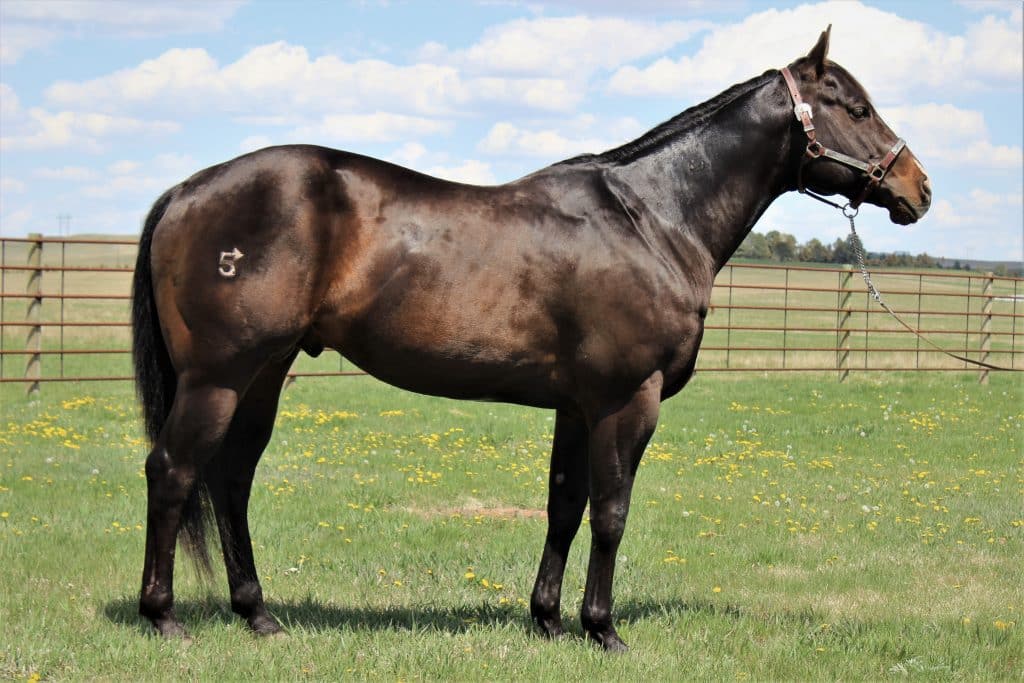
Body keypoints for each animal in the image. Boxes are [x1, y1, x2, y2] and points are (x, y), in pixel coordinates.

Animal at [131, 27, 930, 650]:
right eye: (856, 107)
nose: (919, 188)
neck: (651, 219)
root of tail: (186, 189)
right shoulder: (626, 400)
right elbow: (610, 512)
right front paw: (602, 628)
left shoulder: (578, 406)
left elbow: (564, 506)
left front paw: (546, 619)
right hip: (217, 378)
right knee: (172, 471)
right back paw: (164, 616)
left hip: (262, 374)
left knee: (232, 480)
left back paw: (258, 614)